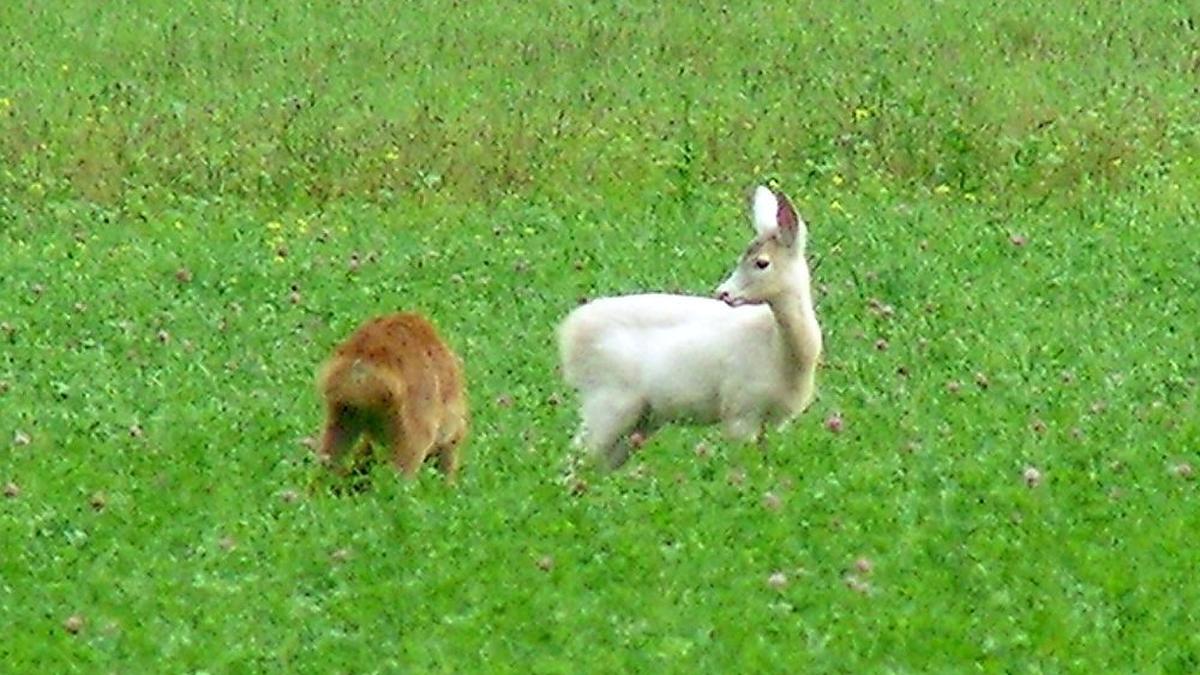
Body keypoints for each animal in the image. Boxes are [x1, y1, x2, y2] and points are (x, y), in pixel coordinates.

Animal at [557, 185, 823, 470]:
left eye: (762, 262)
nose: (723, 293)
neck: (779, 347)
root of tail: (569, 335)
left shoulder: (770, 421)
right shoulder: (740, 409)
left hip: (637, 419)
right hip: (608, 399)